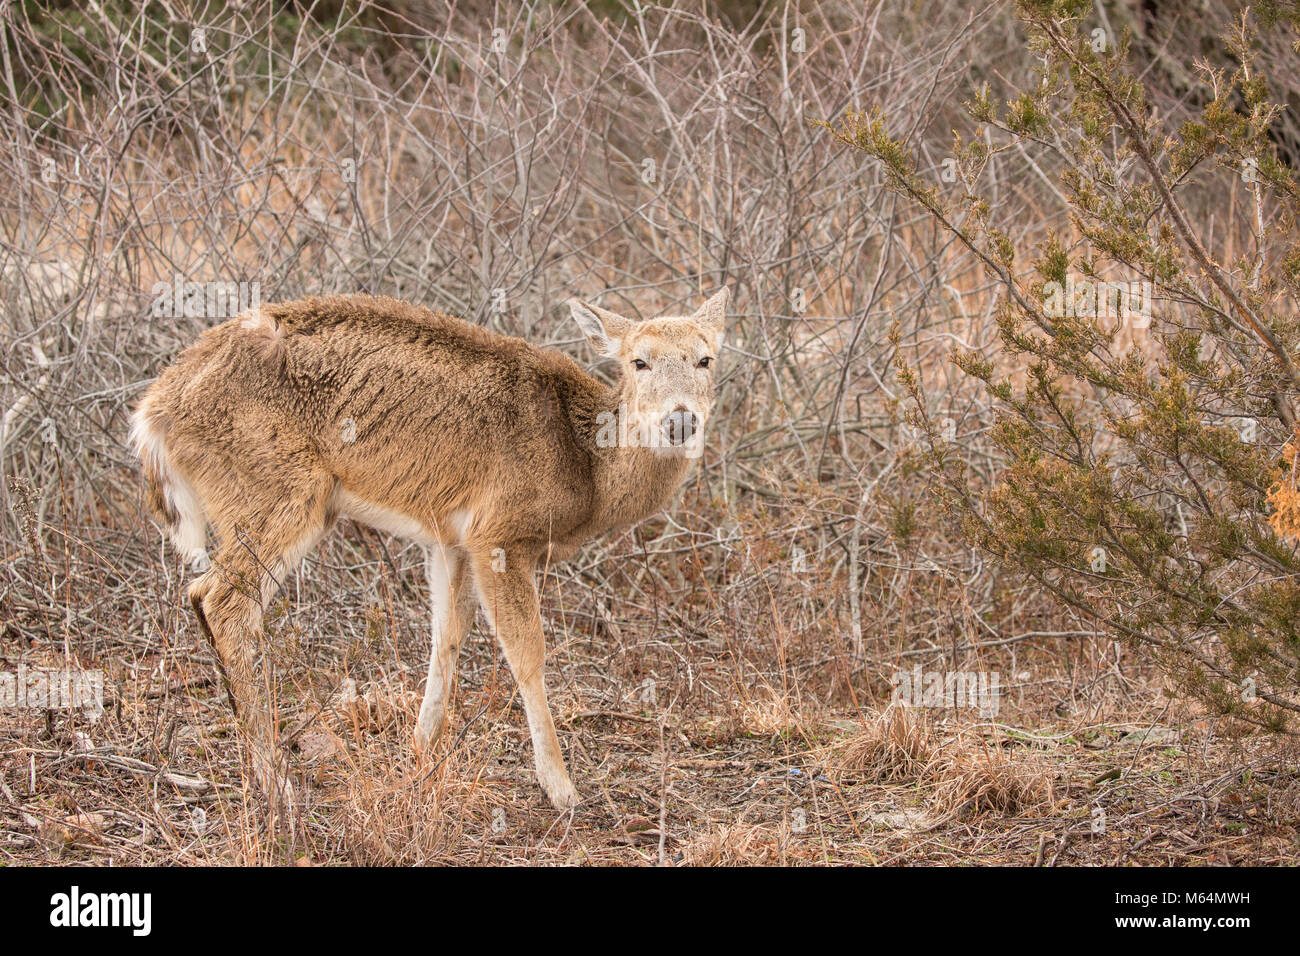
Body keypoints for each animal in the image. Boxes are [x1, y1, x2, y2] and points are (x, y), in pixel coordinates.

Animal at [130, 288, 728, 811]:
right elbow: (527, 652)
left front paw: (419, 751)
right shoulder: (498, 532)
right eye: (638, 362)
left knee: (207, 597)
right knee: (222, 600)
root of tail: (151, 414)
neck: (589, 469)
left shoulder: (452, 539)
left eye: (706, 358)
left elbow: (448, 635)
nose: (680, 420)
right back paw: (275, 781)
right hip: (277, 490)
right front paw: (561, 788)